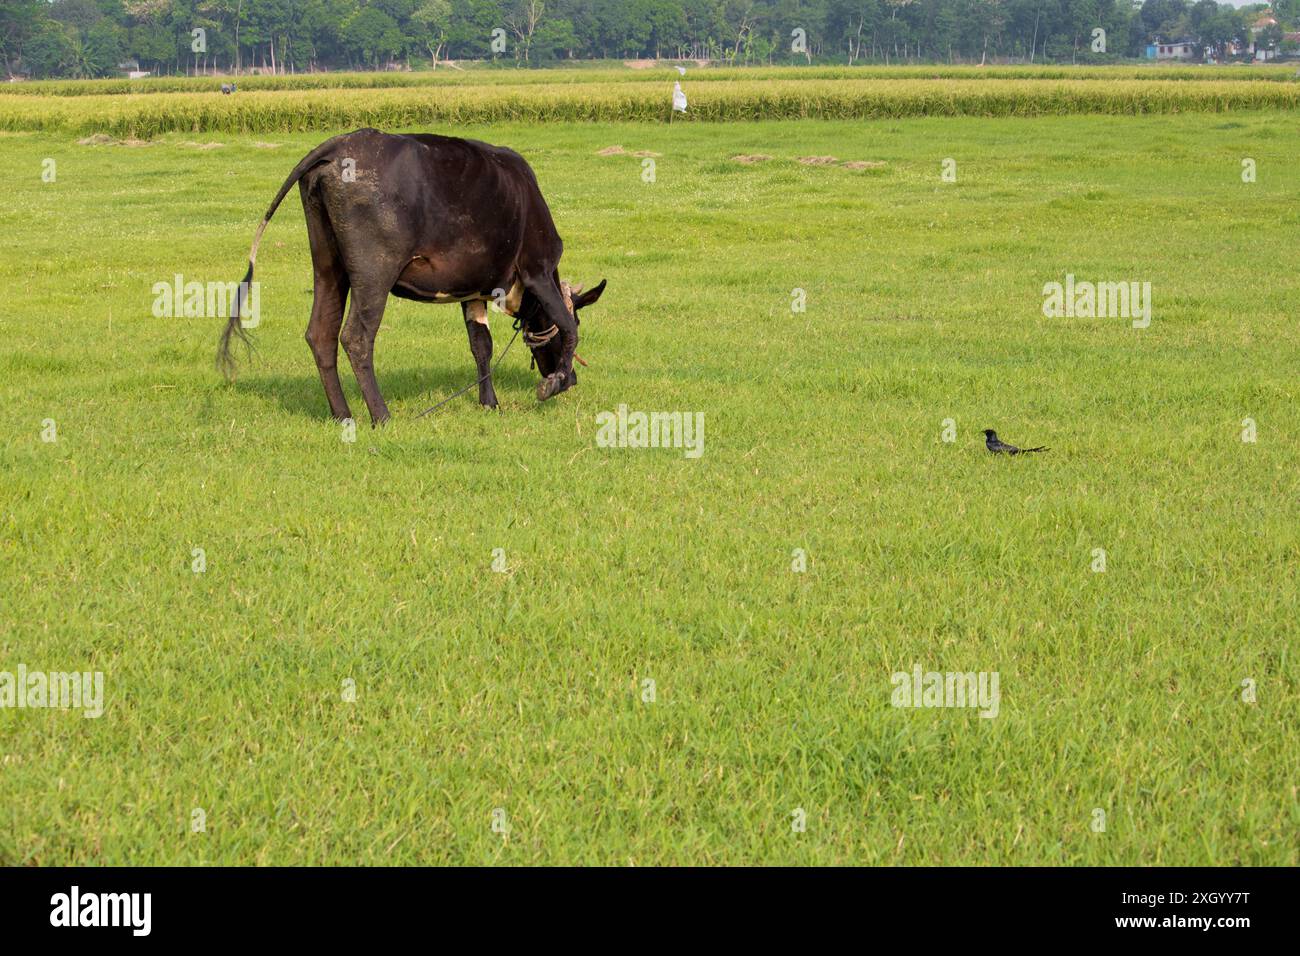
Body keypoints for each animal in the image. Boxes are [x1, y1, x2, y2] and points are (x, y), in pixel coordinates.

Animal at [217, 128, 606, 423]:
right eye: (581, 316)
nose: (573, 379)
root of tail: (340, 144)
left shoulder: (473, 290)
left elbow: (481, 345)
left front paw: (489, 402)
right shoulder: (537, 268)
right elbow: (566, 328)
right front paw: (554, 383)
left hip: (328, 265)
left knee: (321, 333)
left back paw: (343, 415)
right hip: (374, 272)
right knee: (356, 337)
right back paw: (381, 416)